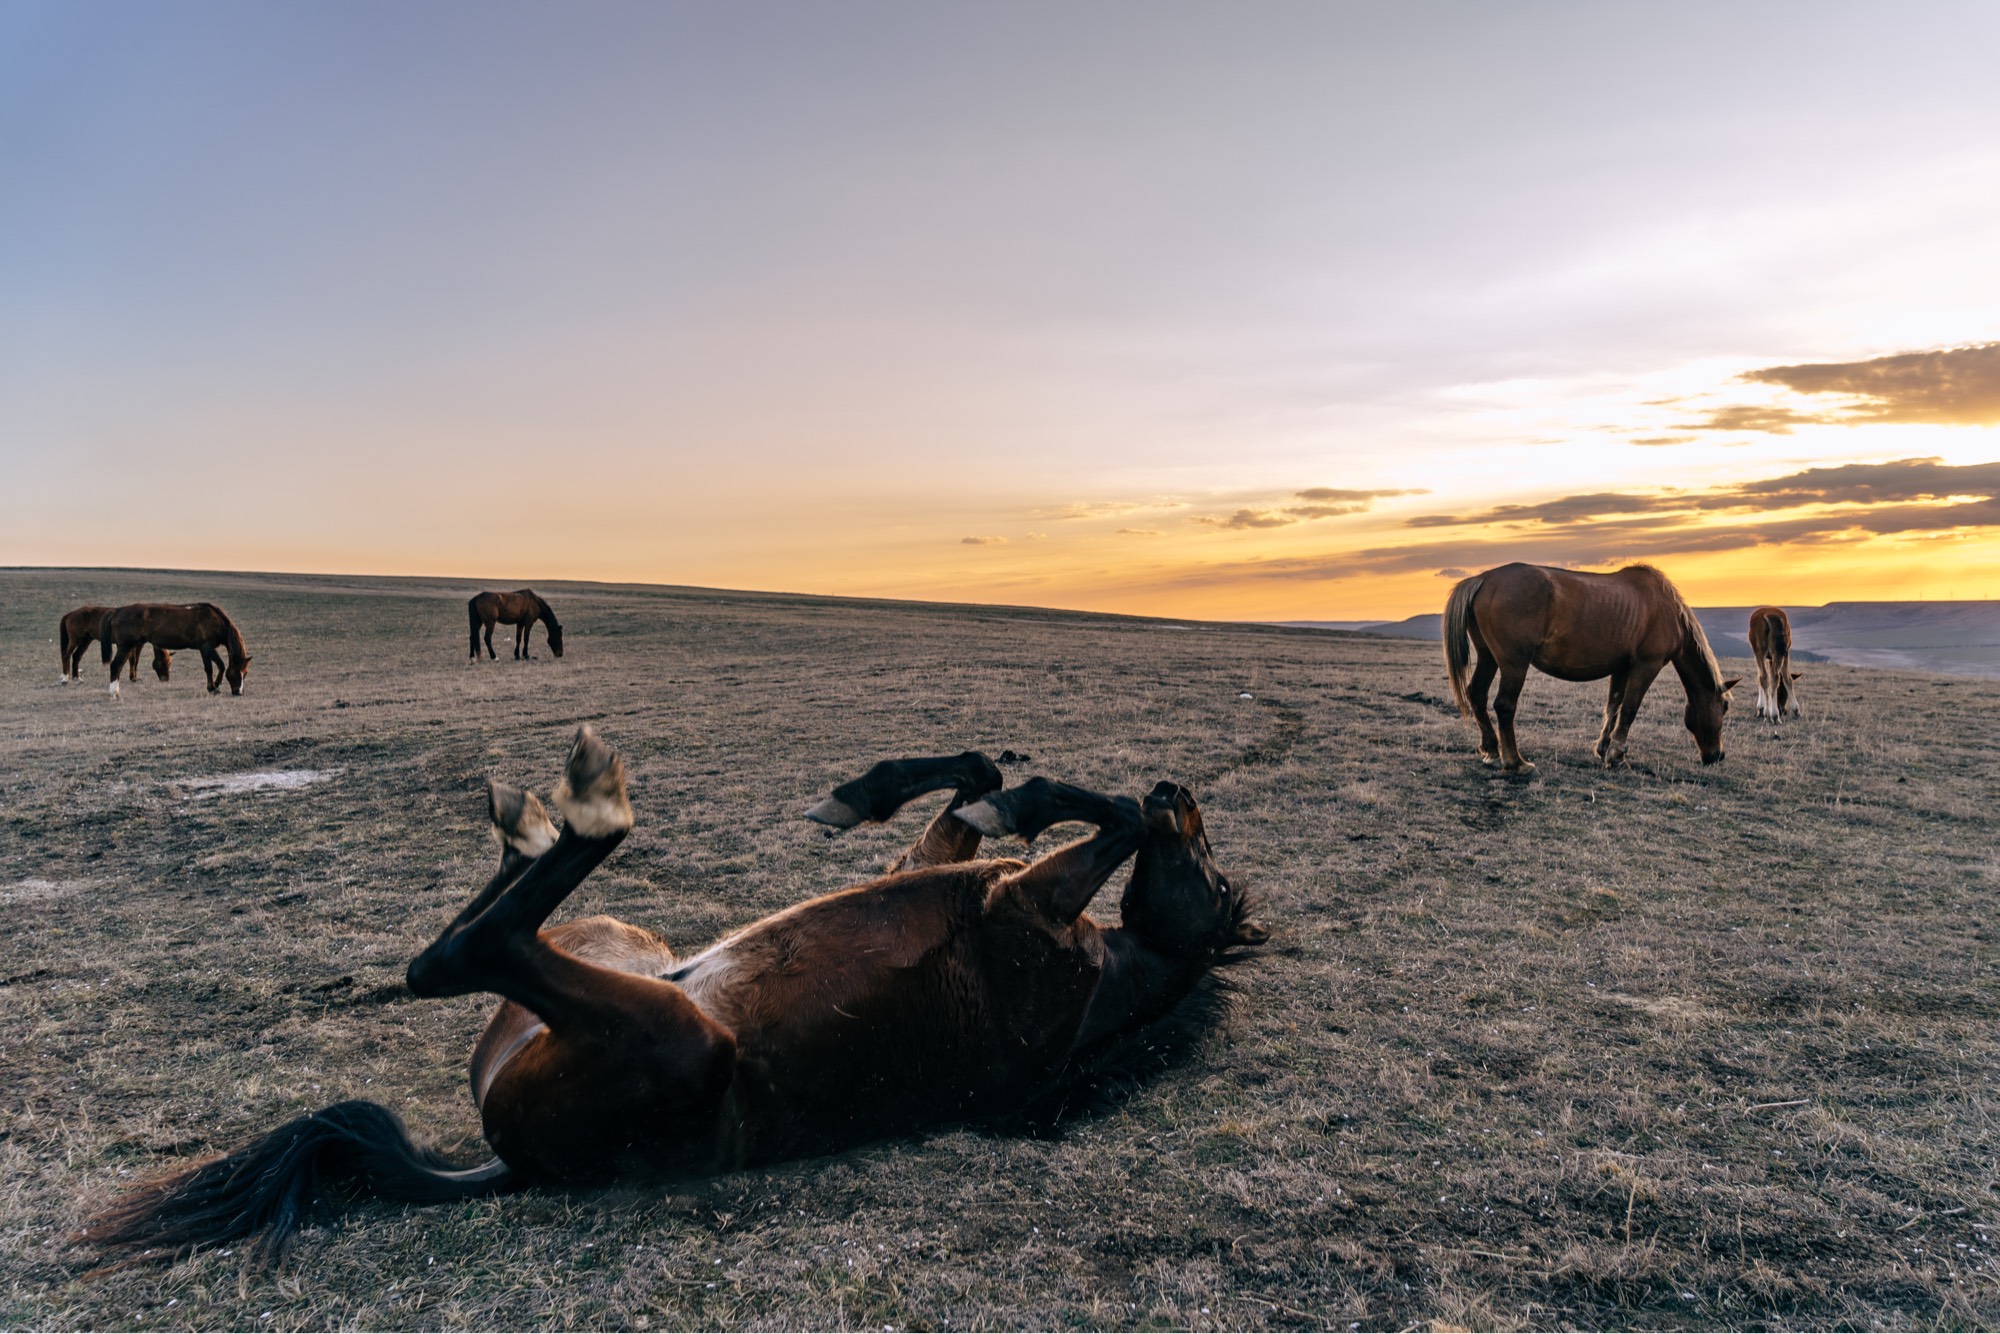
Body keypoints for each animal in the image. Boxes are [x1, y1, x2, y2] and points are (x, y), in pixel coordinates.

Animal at [86, 732, 1264, 1264]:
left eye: (1209, 877)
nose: (1181, 791)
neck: (1093, 985)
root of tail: (509, 1163)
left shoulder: (1027, 898)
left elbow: (1088, 811)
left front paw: (1030, 797)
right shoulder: (956, 872)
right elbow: (970, 783)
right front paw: (873, 793)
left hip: (681, 1037)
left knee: (460, 952)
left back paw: (583, 807)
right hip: (631, 951)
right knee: (473, 942)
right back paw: (533, 822)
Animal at [100, 600, 250, 696]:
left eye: (245, 673)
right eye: (236, 672)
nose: (239, 692)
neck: (215, 620)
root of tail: (118, 611)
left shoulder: (207, 649)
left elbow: (216, 667)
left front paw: (214, 687)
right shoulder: (206, 647)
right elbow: (214, 667)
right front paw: (214, 687)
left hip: (128, 647)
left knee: (119, 667)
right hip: (125, 646)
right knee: (115, 666)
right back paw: (114, 693)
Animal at [1448, 560, 1744, 772]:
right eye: (1724, 707)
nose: (1717, 755)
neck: (1667, 610)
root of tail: (1483, 579)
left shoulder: (1622, 667)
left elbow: (1613, 707)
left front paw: (1604, 749)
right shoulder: (1646, 665)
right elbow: (1629, 709)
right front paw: (1616, 756)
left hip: (1488, 657)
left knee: (1477, 694)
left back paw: (1492, 751)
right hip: (1514, 664)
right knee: (1504, 705)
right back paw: (1516, 762)